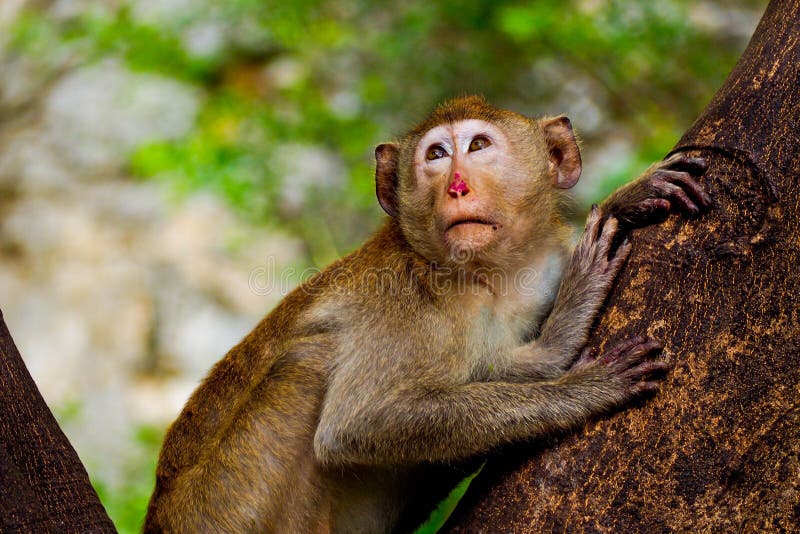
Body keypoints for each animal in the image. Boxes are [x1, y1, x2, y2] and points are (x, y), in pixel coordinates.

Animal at [144, 95, 709, 533]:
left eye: (478, 146)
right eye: (436, 155)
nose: (457, 186)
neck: (478, 275)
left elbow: (491, 366)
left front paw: (623, 203)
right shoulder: (398, 299)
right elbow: (359, 423)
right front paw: (585, 388)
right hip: (228, 505)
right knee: (306, 366)